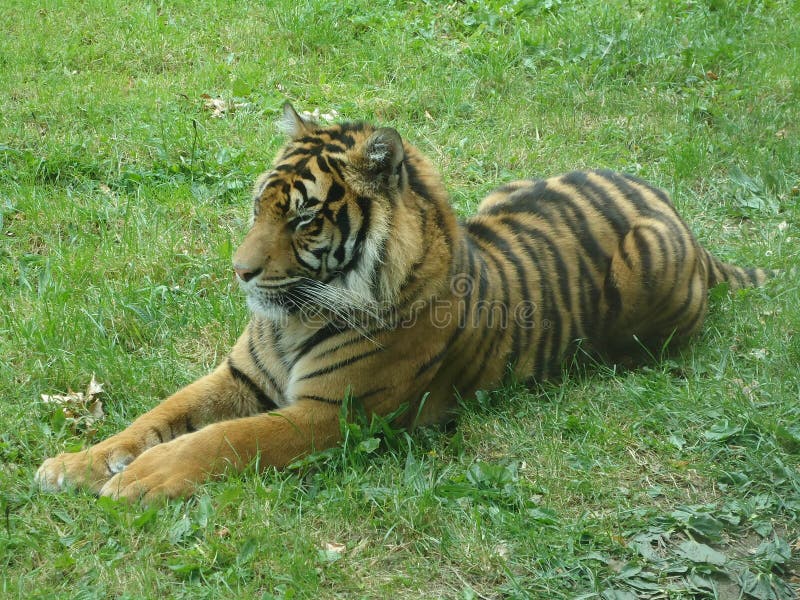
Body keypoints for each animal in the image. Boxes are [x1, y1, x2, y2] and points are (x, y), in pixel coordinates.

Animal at [36, 103, 773, 502]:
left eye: (304, 219)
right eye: (258, 206)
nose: (240, 273)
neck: (297, 316)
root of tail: (672, 209)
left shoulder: (334, 413)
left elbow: (224, 438)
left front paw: (143, 480)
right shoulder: (240, 375)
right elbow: (156, 417)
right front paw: (75, 465)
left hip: (648, 258)